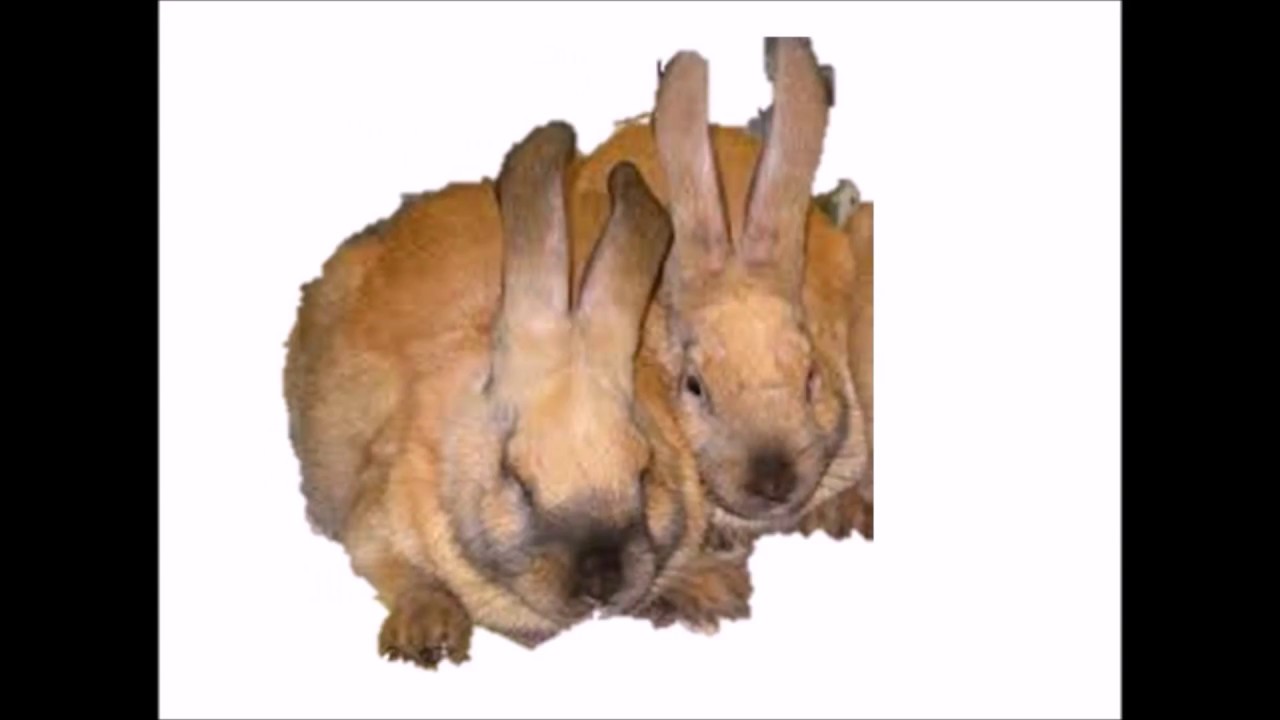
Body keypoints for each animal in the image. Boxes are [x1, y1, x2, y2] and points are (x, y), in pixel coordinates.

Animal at [283, 120, 735, 669]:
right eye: (515, 478)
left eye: (645, 471)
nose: (601, 581)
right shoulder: (375, 523)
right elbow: (400, 573)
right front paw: (427, 634)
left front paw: (707, 592)